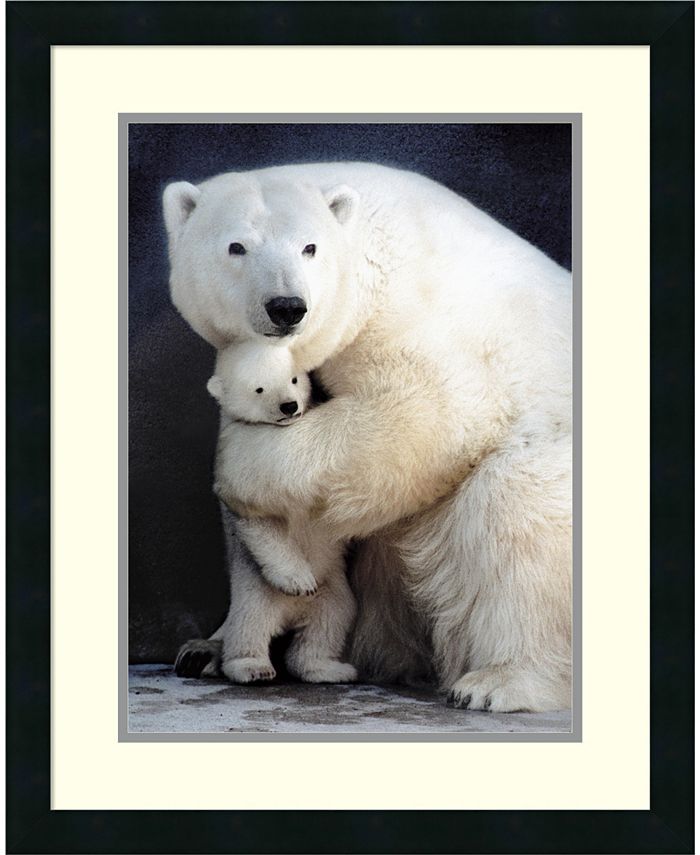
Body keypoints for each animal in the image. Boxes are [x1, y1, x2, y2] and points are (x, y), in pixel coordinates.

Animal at [204, 339, 357, 684]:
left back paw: (328, 668)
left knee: (332, 619)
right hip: (256, 591)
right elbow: (263, 525)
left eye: (294, 379)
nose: (289, 406)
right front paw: (299, 582)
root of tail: (290, 615)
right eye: (259, 388)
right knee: (249, 625)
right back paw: (251, 667)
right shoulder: (240, 471)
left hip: (332, 590)